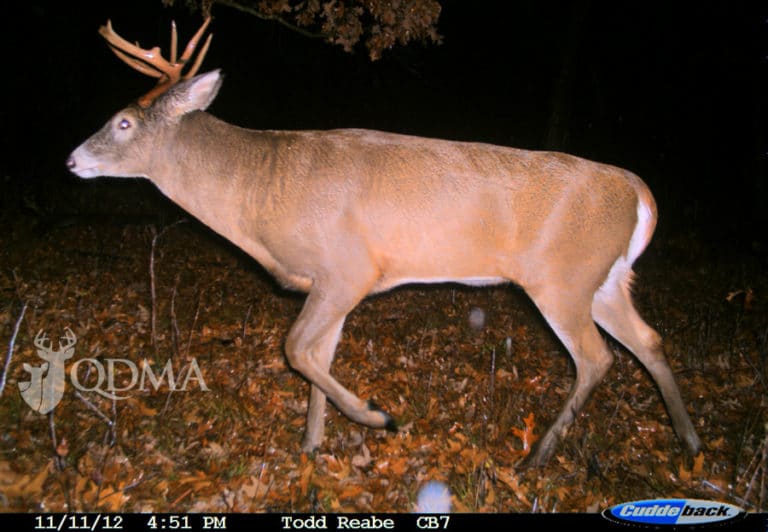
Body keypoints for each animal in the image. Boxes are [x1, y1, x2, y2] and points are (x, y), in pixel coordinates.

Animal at [66, 17, 701, 466]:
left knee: (597, 357)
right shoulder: (330, 283)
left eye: (123, 122)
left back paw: (539, 457)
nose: (72, 160)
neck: (260, 193)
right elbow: (315, 357)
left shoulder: (348, 269)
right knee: (648, 340)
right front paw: (311, 448)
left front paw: (377, 418)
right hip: (604, 279)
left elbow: (294, 350)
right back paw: (690, 443)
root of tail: (636, 189)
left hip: (561, 278)